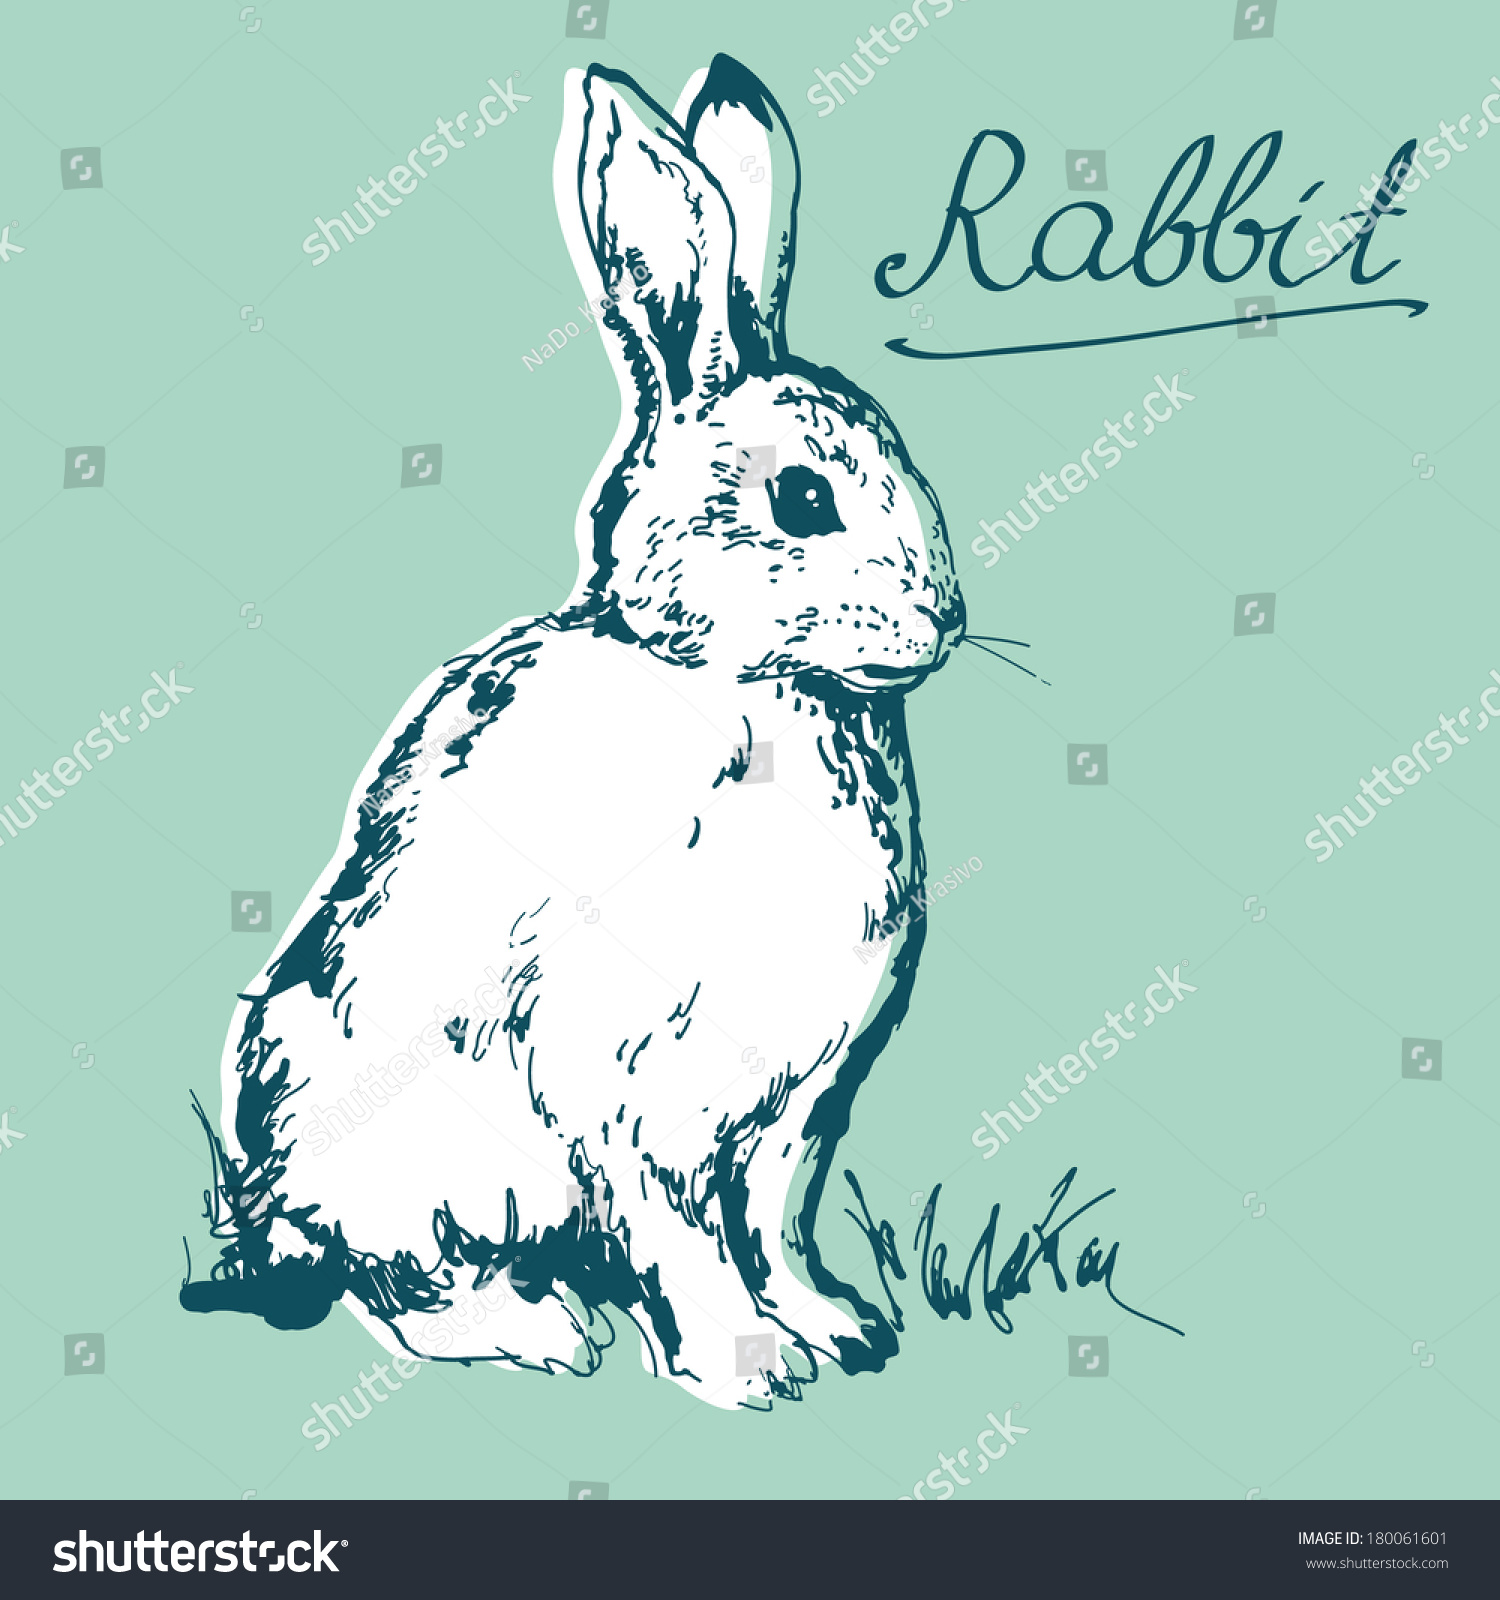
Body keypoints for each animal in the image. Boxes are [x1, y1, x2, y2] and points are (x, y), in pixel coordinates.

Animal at [181, 53, 965, 1410]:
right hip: (420, 1151)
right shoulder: (635, 1096)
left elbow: (776, 1225)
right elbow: (686, 1241)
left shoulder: (794, 1110)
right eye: (802, 498)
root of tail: (267, 1206)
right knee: (396, 1282)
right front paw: (749, 1371)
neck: (736, 676)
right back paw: (538, 1329)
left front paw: (837, 1328)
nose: (948, 622)